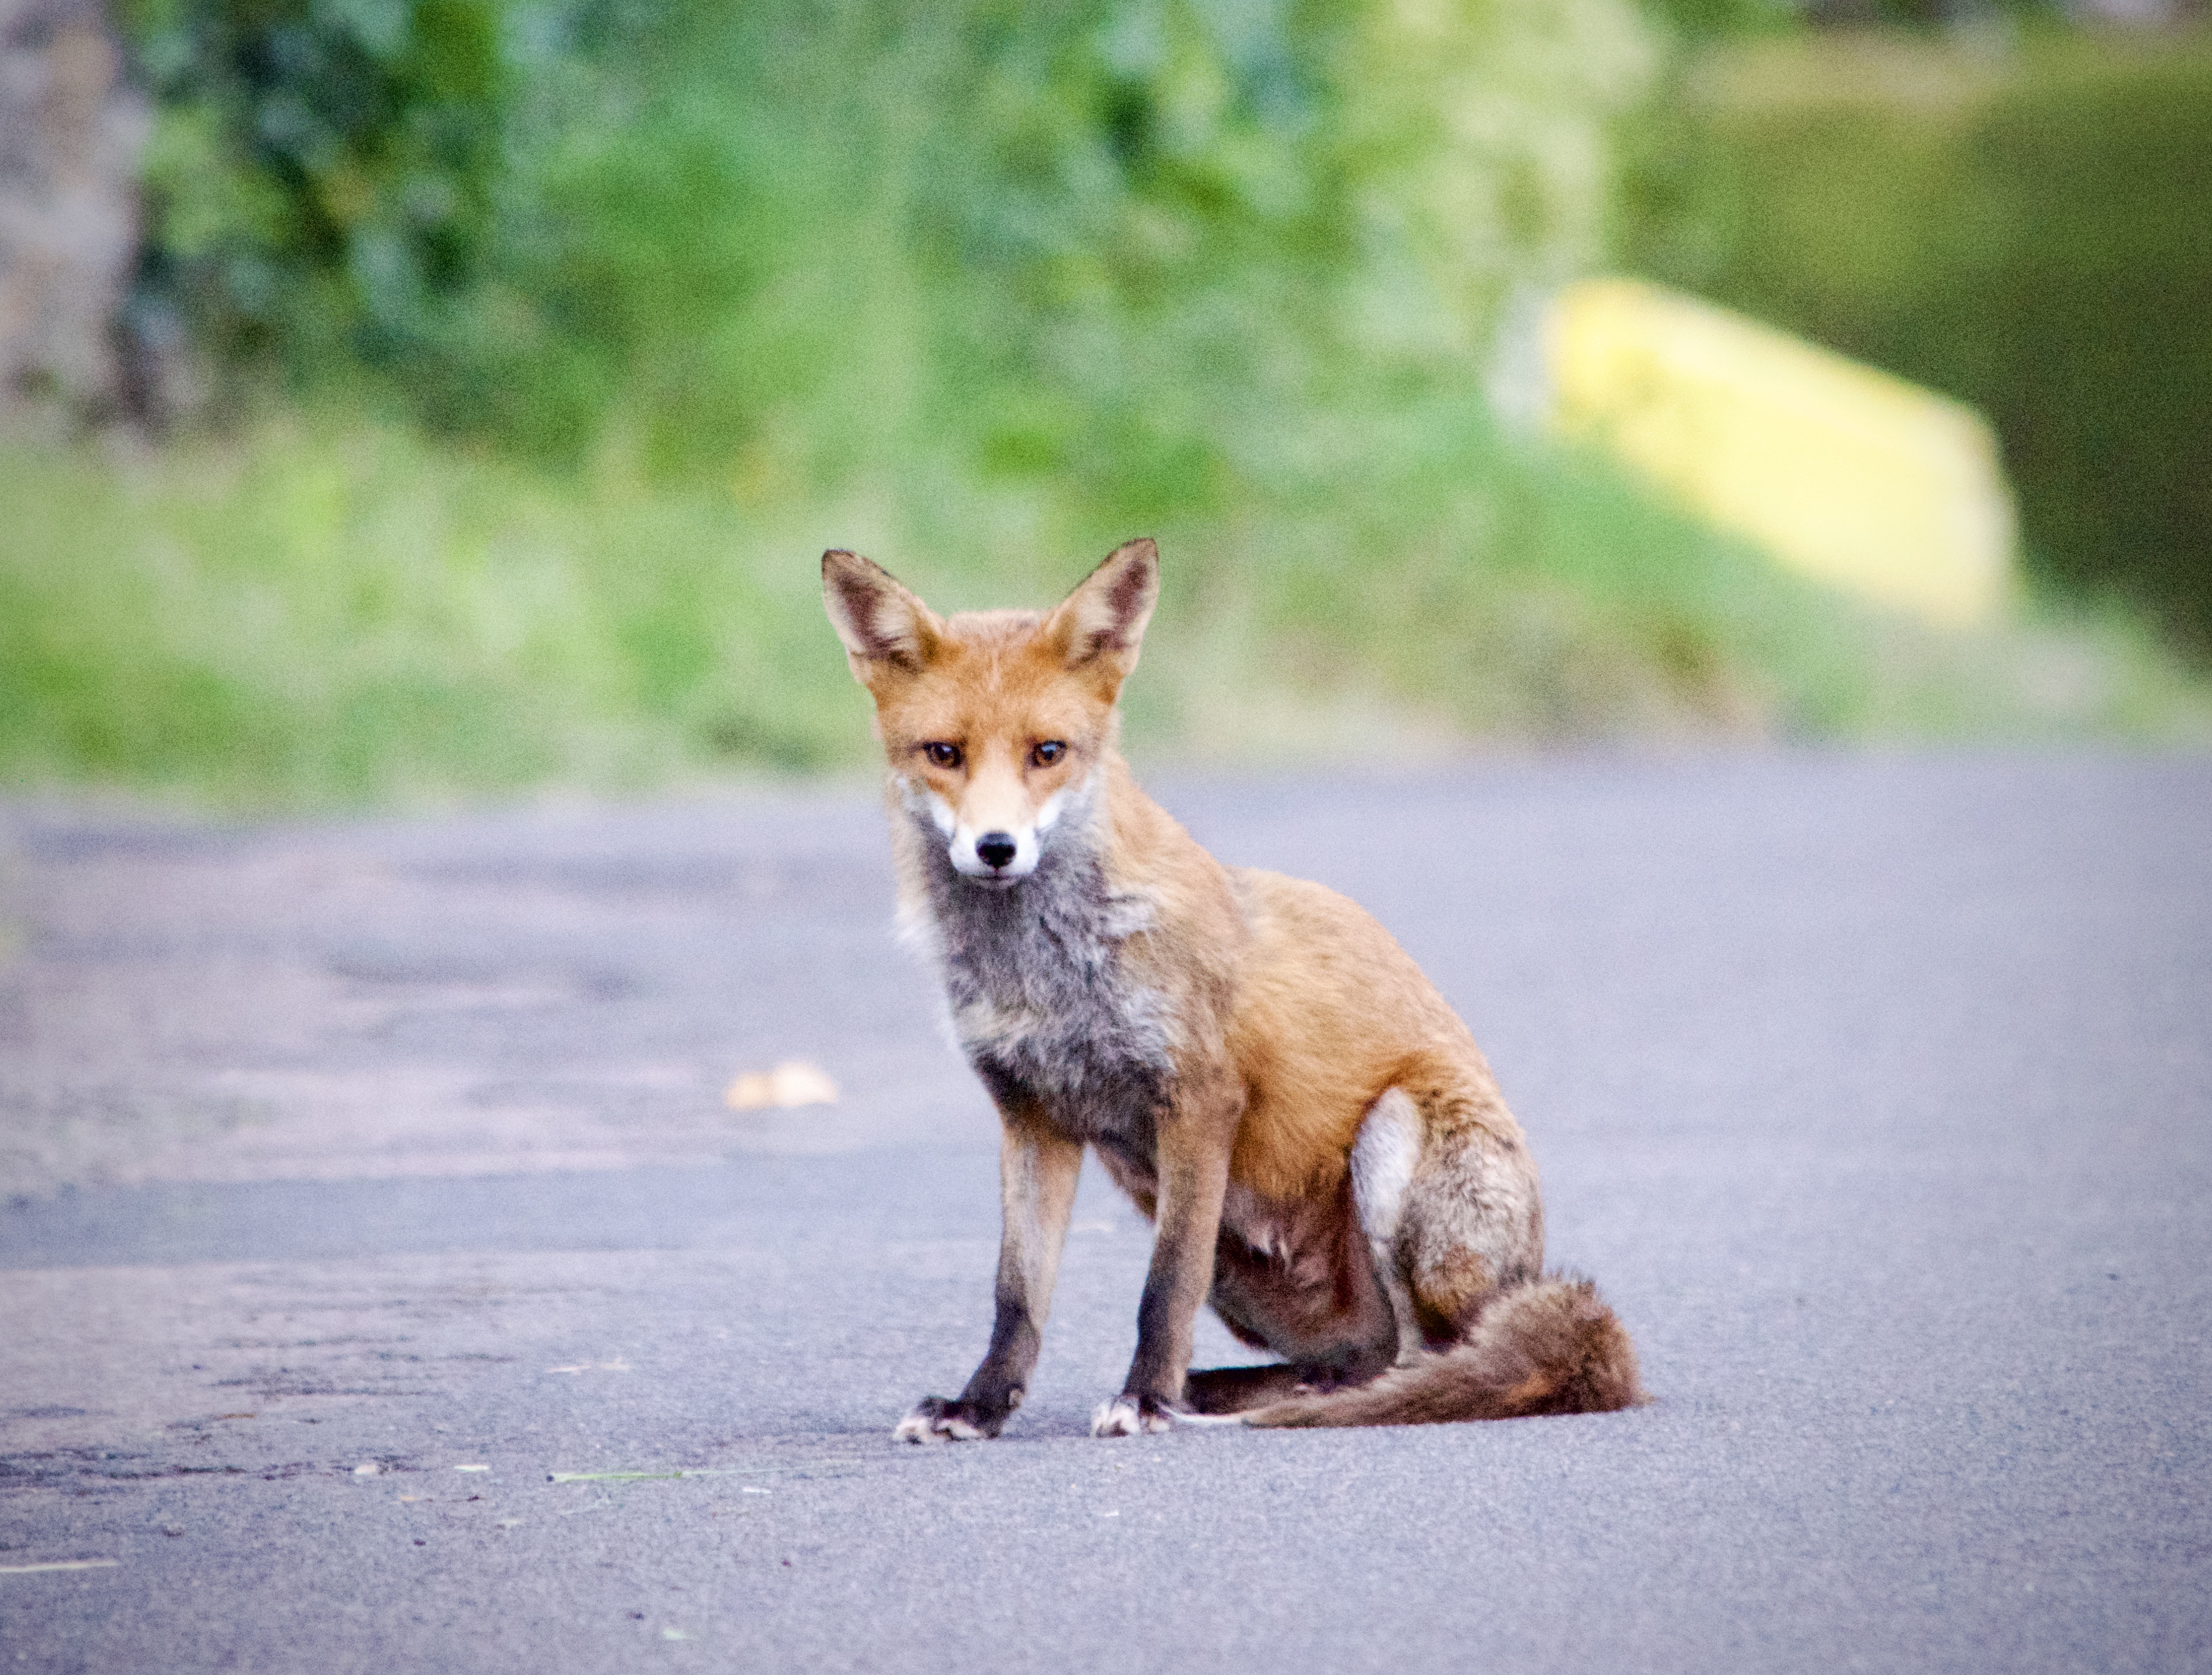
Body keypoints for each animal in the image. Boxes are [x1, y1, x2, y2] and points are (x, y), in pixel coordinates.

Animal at [822, 538, 1645, 1438]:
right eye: (944, 754)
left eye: (1048, 752)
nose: (996, 848)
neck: (1046, 974)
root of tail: (1534, 1277)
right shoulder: (1031, 1117)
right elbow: (1016, 1297)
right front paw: (978, 1406)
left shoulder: (1199, 1099)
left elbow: (1162, 1289)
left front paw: (1144, 1398)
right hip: (1217, 1249)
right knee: (1350, 1361)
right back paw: (1243, 1393)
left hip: (1389, 1137)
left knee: (1418, 1361)